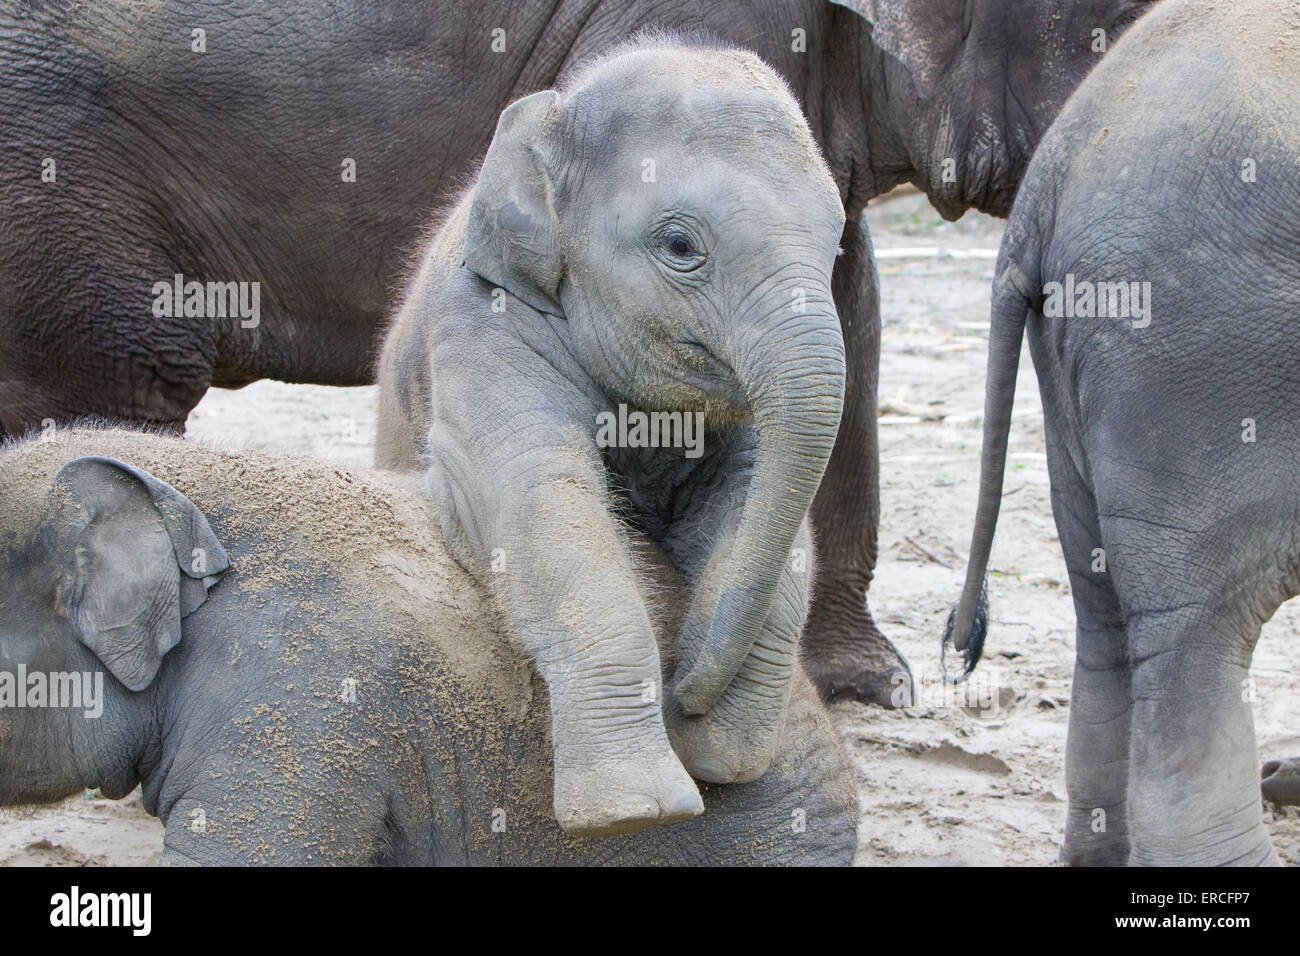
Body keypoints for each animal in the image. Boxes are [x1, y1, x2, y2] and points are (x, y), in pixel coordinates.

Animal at [377, 40, 847, 837]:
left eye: (840, 245)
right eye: (681, 245)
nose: (683, 694)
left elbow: (757, 502)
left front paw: (721, 759)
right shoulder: (480, 323)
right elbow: (538, 503)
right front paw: (635, 811)